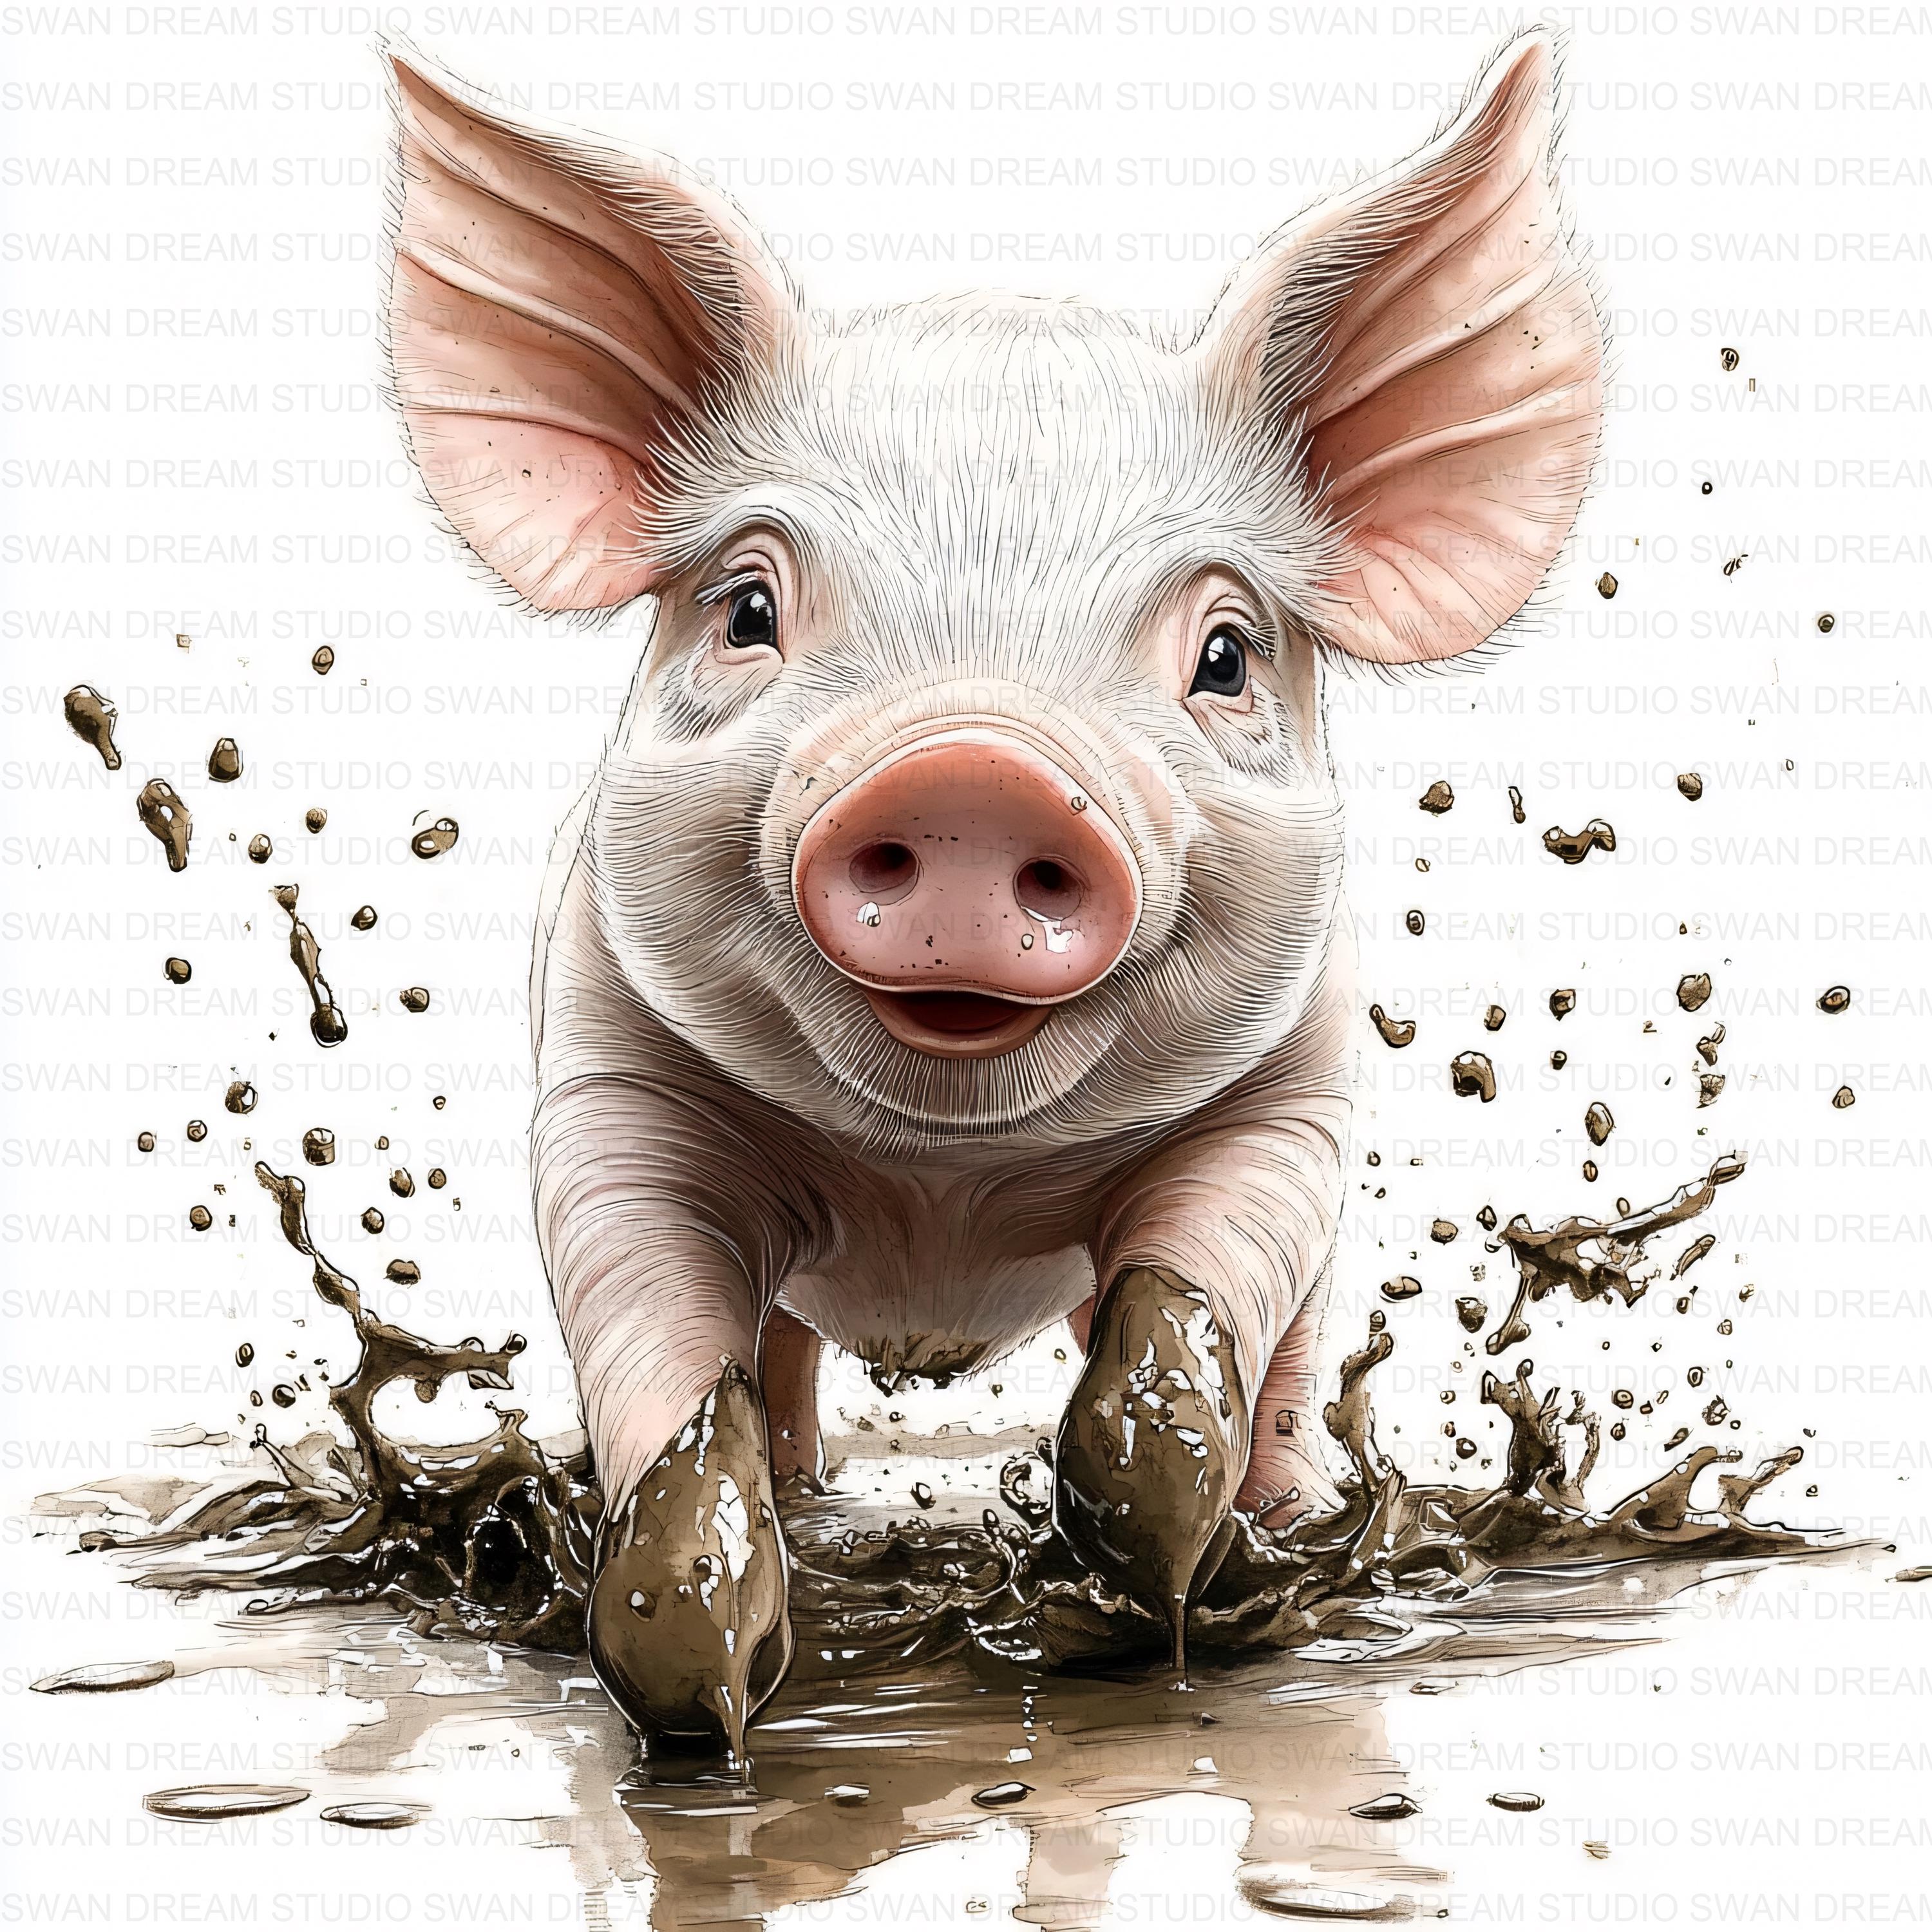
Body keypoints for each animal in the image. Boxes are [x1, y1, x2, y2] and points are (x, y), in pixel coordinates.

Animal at [383, 31, 1603, 1765]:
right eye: (745, 608)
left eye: (1223, 652)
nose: (969, 772)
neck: (939, 1180)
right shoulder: (605, 1096)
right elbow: (665, 1355)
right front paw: (701, 1693)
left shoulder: (1293, 1099)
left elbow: (1193, 1280)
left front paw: (1146, 1584)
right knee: (781, 1358)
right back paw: (820, 1494)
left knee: (1287, 1357)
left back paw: (1289, 1525)